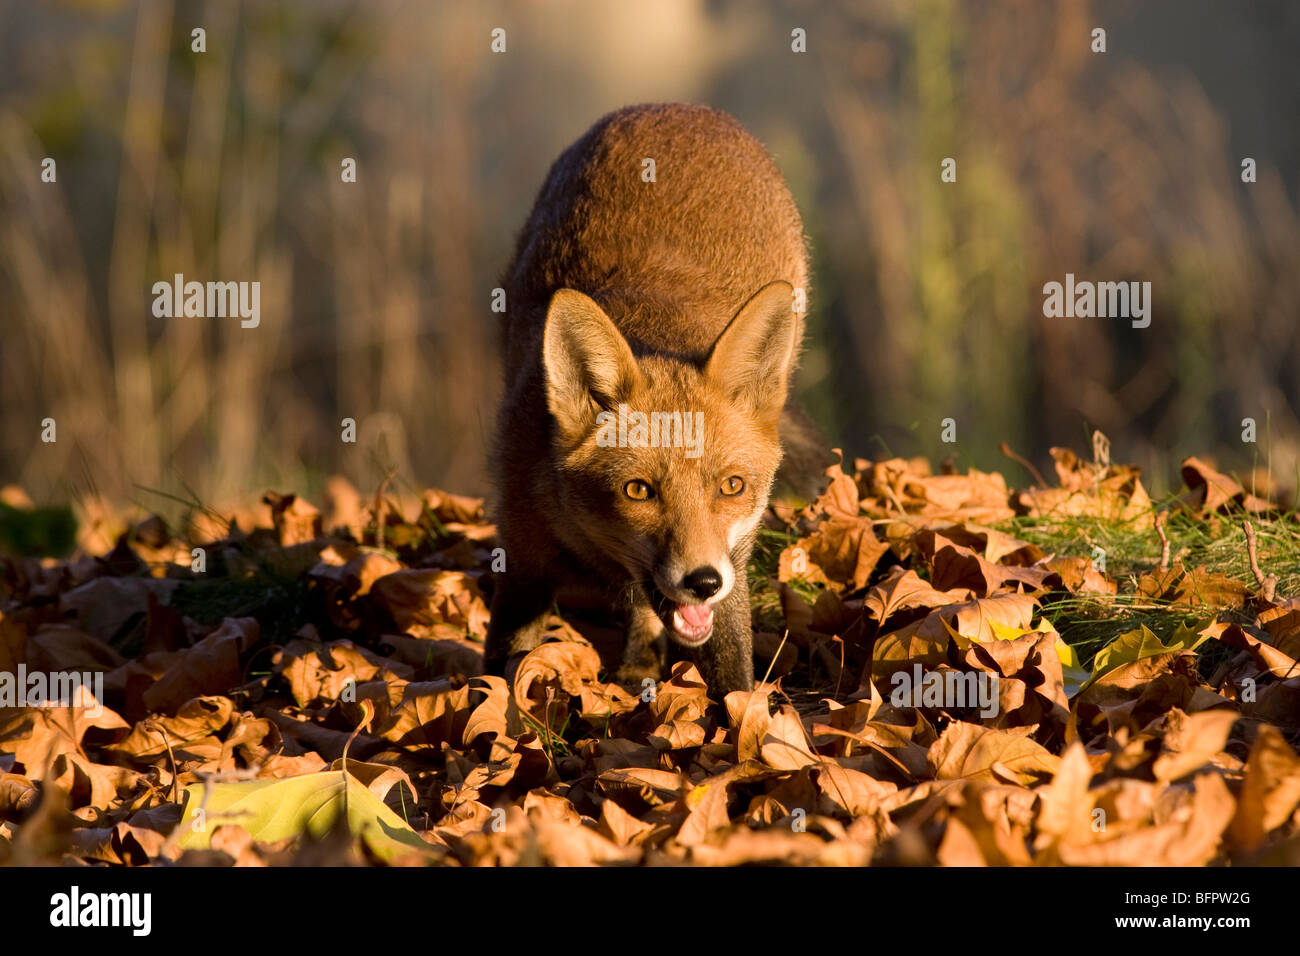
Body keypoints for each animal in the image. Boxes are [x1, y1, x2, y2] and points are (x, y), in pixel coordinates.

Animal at [485, 102, 812, 698]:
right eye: (637, 490)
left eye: (733, 486)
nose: (702, 582)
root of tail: (678, 108)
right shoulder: (521, 562)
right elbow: (504, 667)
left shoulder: (733, 564)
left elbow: (734, 678)